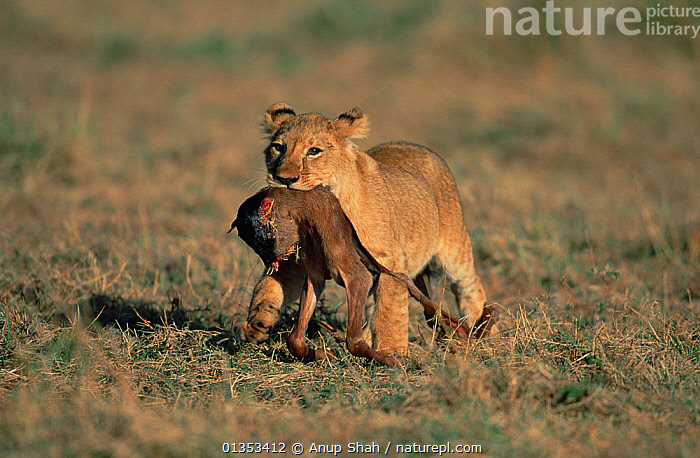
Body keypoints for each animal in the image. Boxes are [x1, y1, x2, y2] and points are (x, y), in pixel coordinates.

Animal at [237, 103, 496, 356]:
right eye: (278, 148)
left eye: (313, 151)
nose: (284, 179)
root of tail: (421, 148)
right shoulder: (298, 259)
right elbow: (269, 284)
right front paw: (256, 324)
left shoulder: (390, 259)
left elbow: (389, 310)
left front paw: (392, 351)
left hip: (454, 248)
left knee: (470, 286)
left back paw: (485, 335)